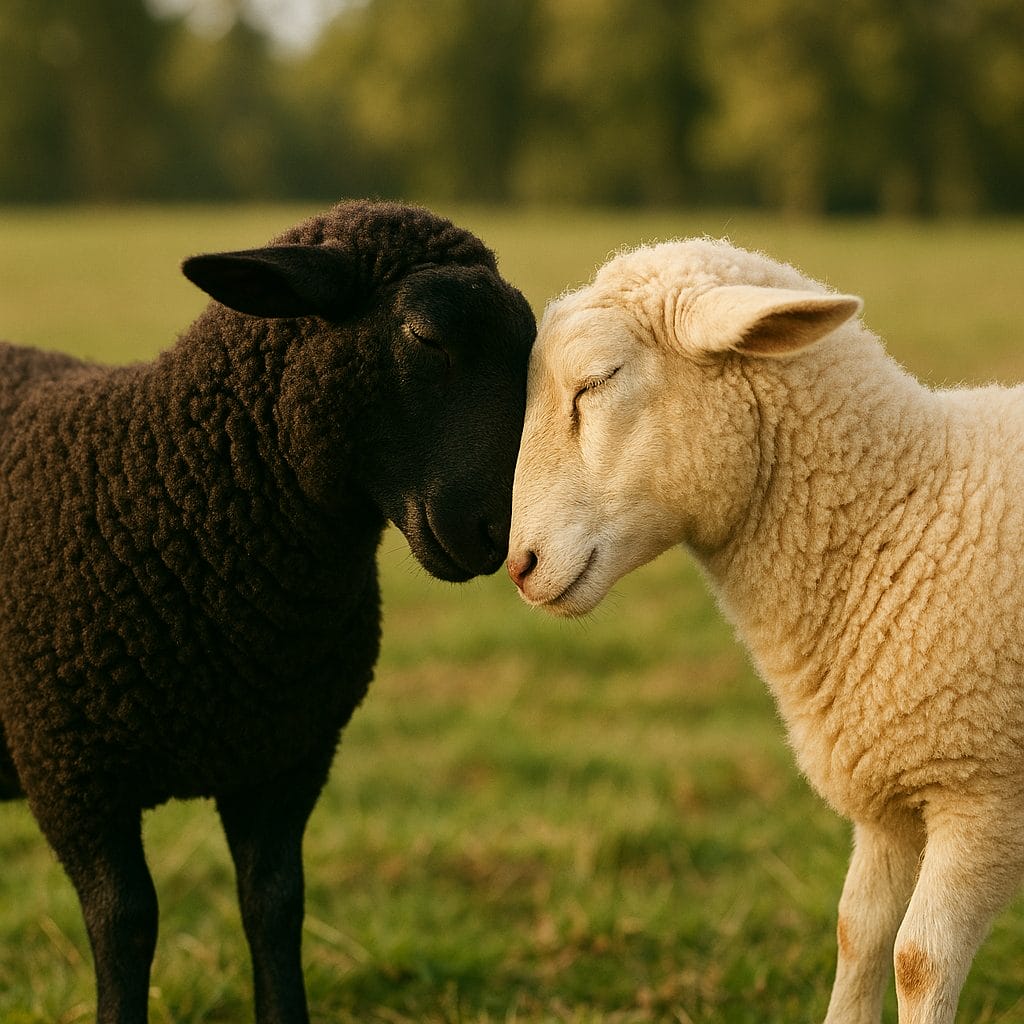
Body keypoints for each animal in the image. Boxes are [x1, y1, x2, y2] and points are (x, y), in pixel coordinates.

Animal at [0, 199, 535, 1024]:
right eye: (425, 337)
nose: (502, 532)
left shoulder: (286, 759)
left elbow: (275, 906)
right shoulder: (69, 771)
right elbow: (125, 923)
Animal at [506, 236, 1024, 1024]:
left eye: (596, 382)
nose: (518, 565)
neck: (901, 520)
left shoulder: (984, 801)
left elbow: (918, 961)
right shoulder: (888, 803)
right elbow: (856, 933)